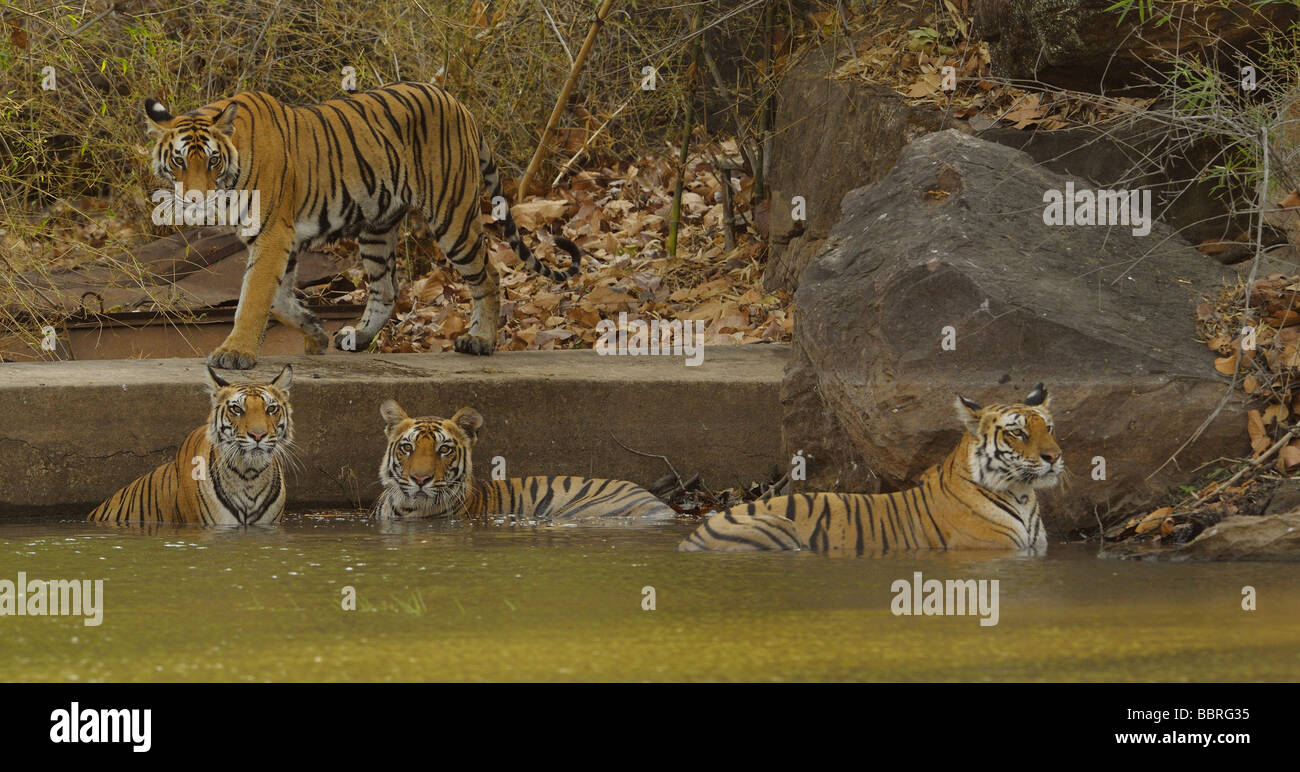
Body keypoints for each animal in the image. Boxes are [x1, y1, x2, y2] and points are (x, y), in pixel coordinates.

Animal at [142, 81, 581, 371]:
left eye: (212, 160)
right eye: (179, 161)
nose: (195, 199)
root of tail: (461, 106)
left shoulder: (273, 234)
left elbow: (253, 298)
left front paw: (235, 352)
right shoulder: (283, 240)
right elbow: (278, 298)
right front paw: (315, 333)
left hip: (452, 215)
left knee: (487, 275)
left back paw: (480, 340)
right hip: (377, 227)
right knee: (387, 289)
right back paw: (357, 337)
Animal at [677, 383, 1063, 555]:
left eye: (1049, 427)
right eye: (1017, 433)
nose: (1054, 457)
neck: (1022, 495)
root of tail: (691, 537)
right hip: (778, 529)